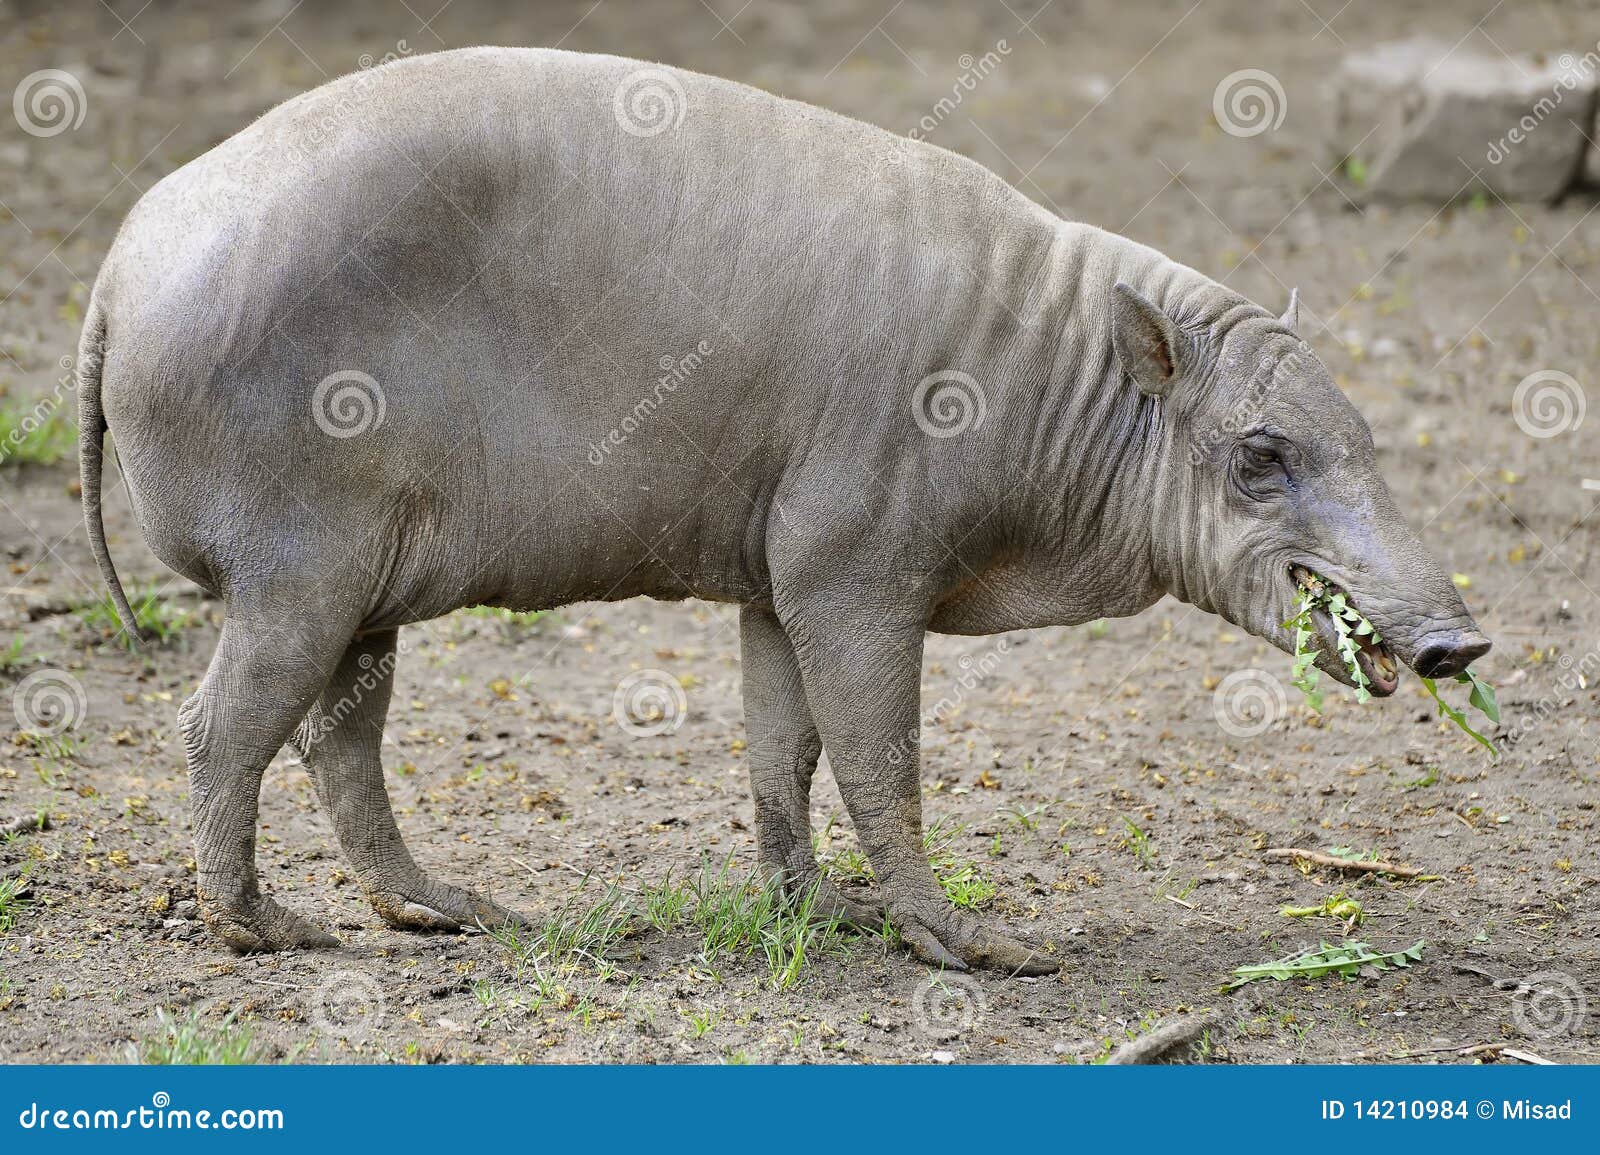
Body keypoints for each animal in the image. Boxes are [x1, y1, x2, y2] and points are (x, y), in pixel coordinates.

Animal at [79, 47, 1489, 973]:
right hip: (297, 564)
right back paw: (262, 930)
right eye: (1259, 454)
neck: (1062, 390)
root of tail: (121, 259)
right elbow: (880, 758)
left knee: (338, 742)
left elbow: (782, 754)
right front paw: (975, 942)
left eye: (1364, 438)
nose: (1459, 644)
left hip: (363, 583)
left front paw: (818, 912)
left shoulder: (774, 582)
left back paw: (444, 910)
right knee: (222, 729)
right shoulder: (855, 570)